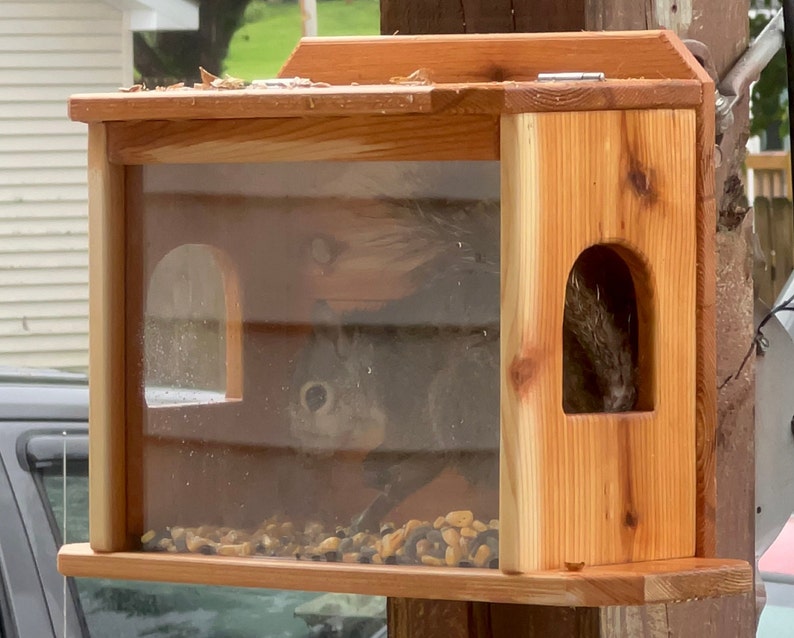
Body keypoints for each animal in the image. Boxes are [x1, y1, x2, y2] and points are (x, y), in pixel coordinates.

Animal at [287, 198, 636, 533]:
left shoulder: (407, 401)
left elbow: (412, 451)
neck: (369, 367)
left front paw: (376, 473)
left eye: (315, 396)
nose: (304, 453)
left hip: (454, 396)